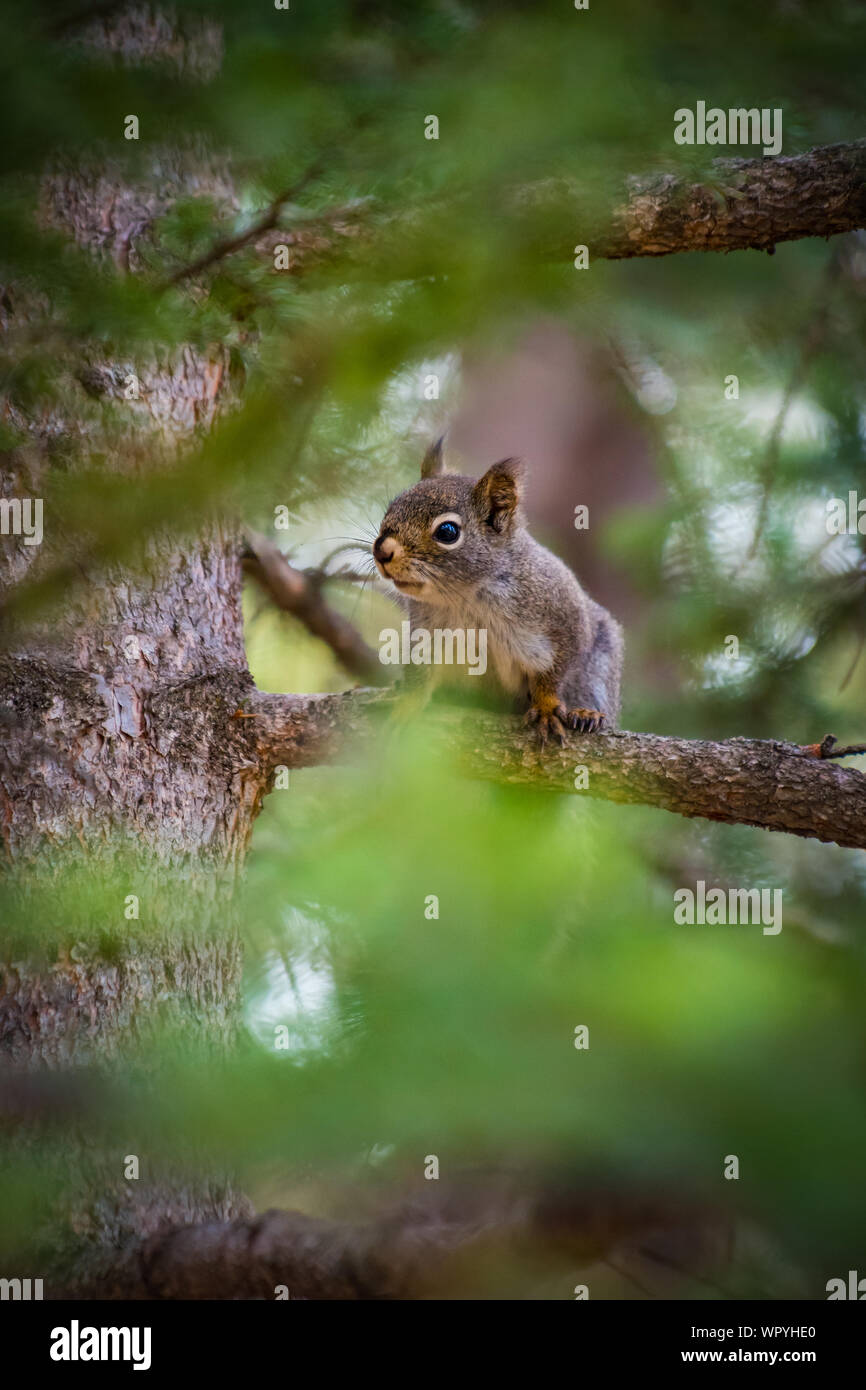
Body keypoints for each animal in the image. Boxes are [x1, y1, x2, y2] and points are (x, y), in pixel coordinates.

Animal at [373, 437, 623, 743]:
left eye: (447, 532)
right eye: (392, 508)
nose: (382, 550)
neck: (466, 595)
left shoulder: (563, 616)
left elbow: (555, 670)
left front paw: (547, 707)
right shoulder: (426, 632)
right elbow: (419, 674)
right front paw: (406, 705)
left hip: (600, 664)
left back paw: (587, 714)